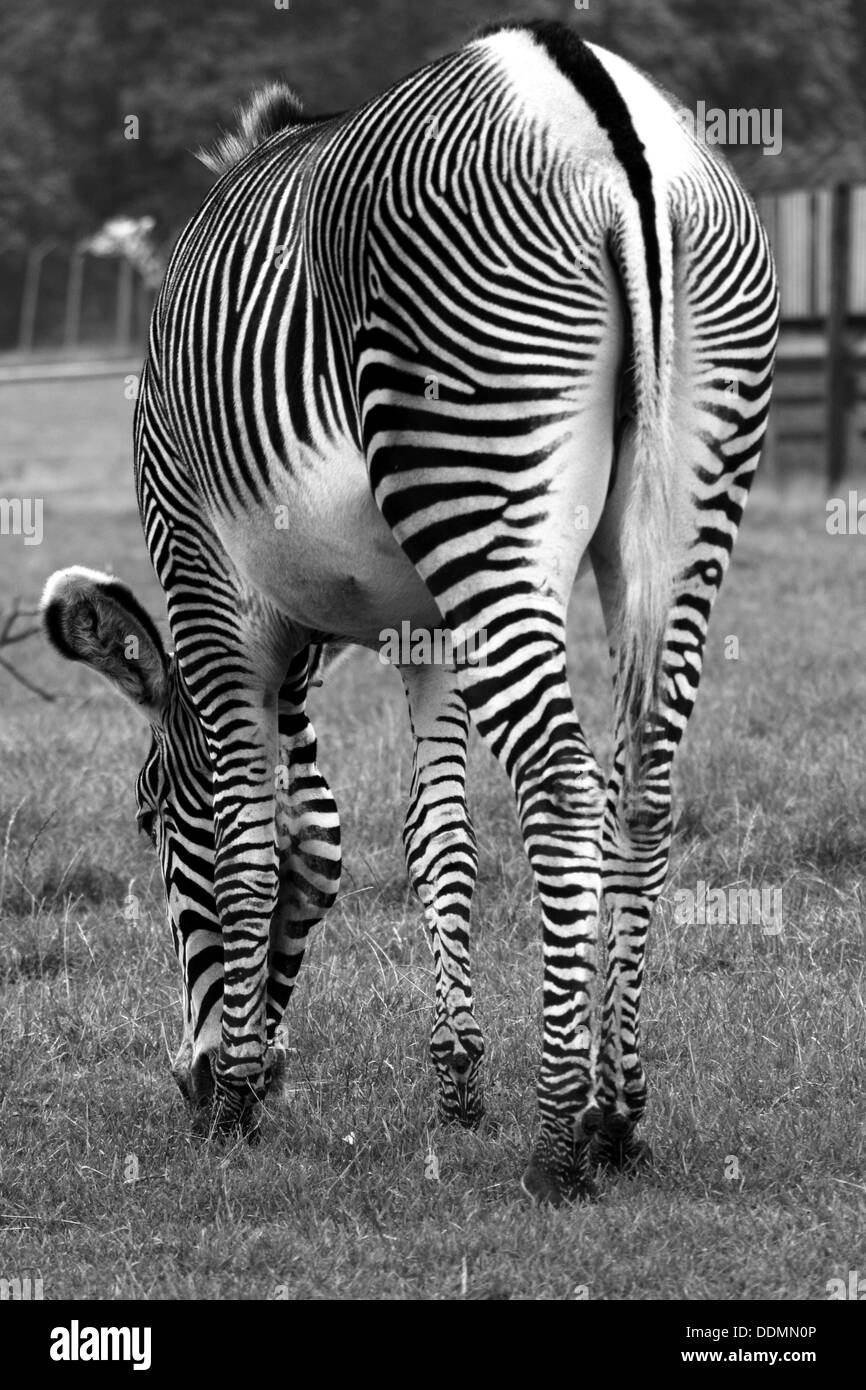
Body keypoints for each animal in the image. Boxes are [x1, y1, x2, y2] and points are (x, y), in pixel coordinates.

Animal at [41, 18, 778, 1204]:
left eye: (148, 817)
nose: (190, 1085)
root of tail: (588, 92)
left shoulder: (205, 577)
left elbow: (255, 836)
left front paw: (240, 1100)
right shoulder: (423, 626)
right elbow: (427, 833)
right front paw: (454, 1085)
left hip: (473, 475)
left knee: (563, 785)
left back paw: (558, 1143)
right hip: (683, 504)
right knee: (649, 788)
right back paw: (618, 1116)